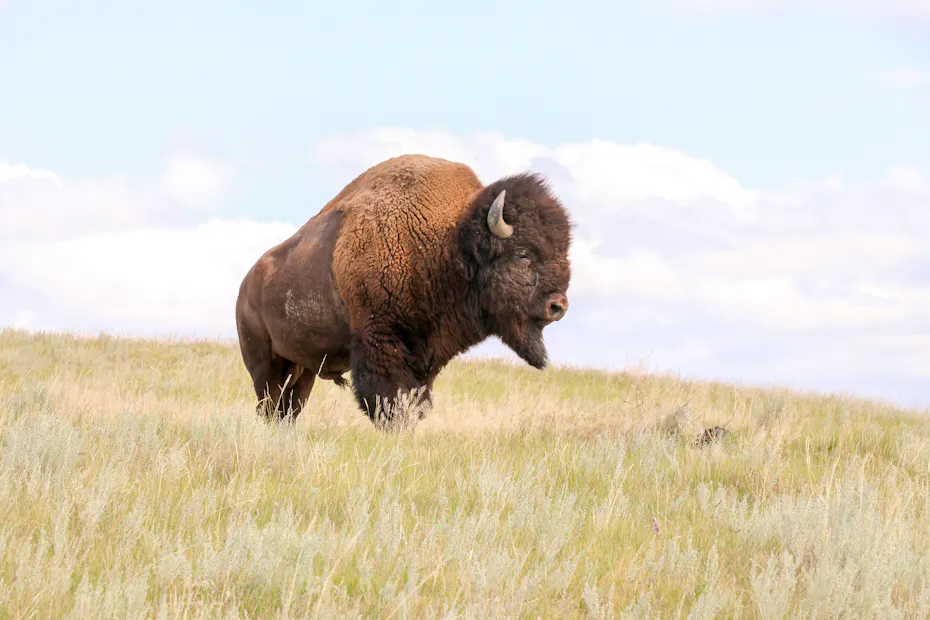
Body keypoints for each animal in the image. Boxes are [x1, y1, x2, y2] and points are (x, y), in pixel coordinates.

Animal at [235, 154, 572, 427]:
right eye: (523, 254)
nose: (558, 306)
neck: (445, 242)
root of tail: (246, 285)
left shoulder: (426, 359)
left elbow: (416, 400)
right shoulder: (381, 346)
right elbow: (390, 403)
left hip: (304, 367)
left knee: (289, 408)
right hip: (263, 361)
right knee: (269, 403)